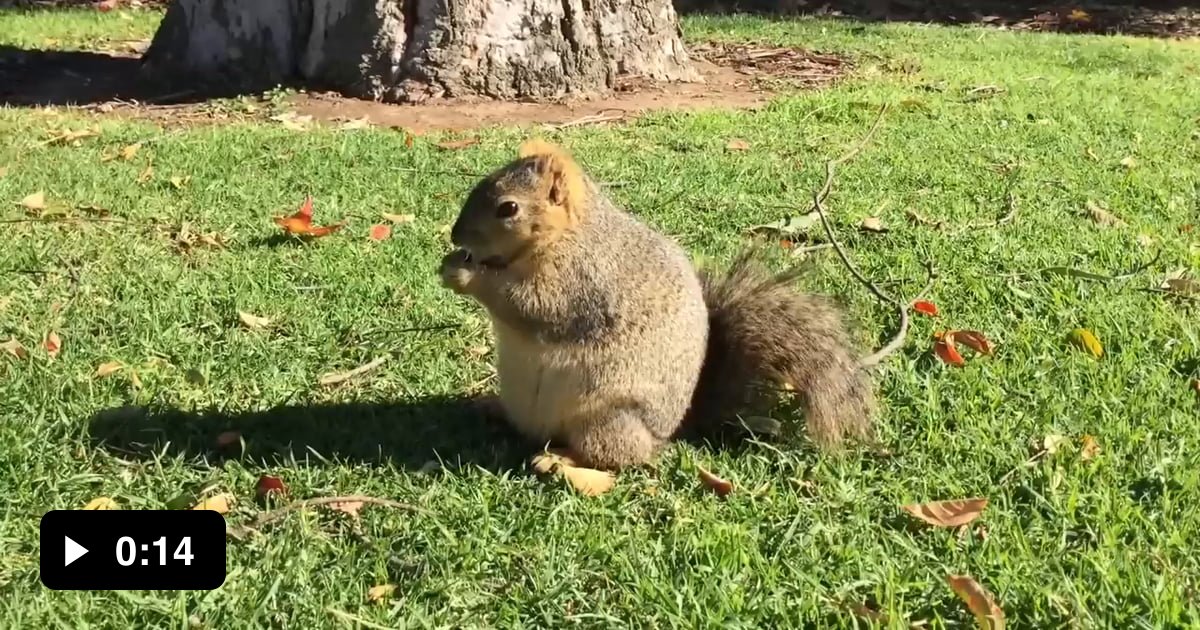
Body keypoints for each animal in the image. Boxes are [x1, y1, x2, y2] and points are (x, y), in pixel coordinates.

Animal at [439, 139, 875, 470]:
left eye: (508, 208)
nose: (456, 235)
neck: (568, 235)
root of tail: (670, 431)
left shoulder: (582, 282)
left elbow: (531, 306)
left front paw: (466, 276)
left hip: (606, 420)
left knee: (616, 456)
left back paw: (561, 459)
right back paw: (490, 407)